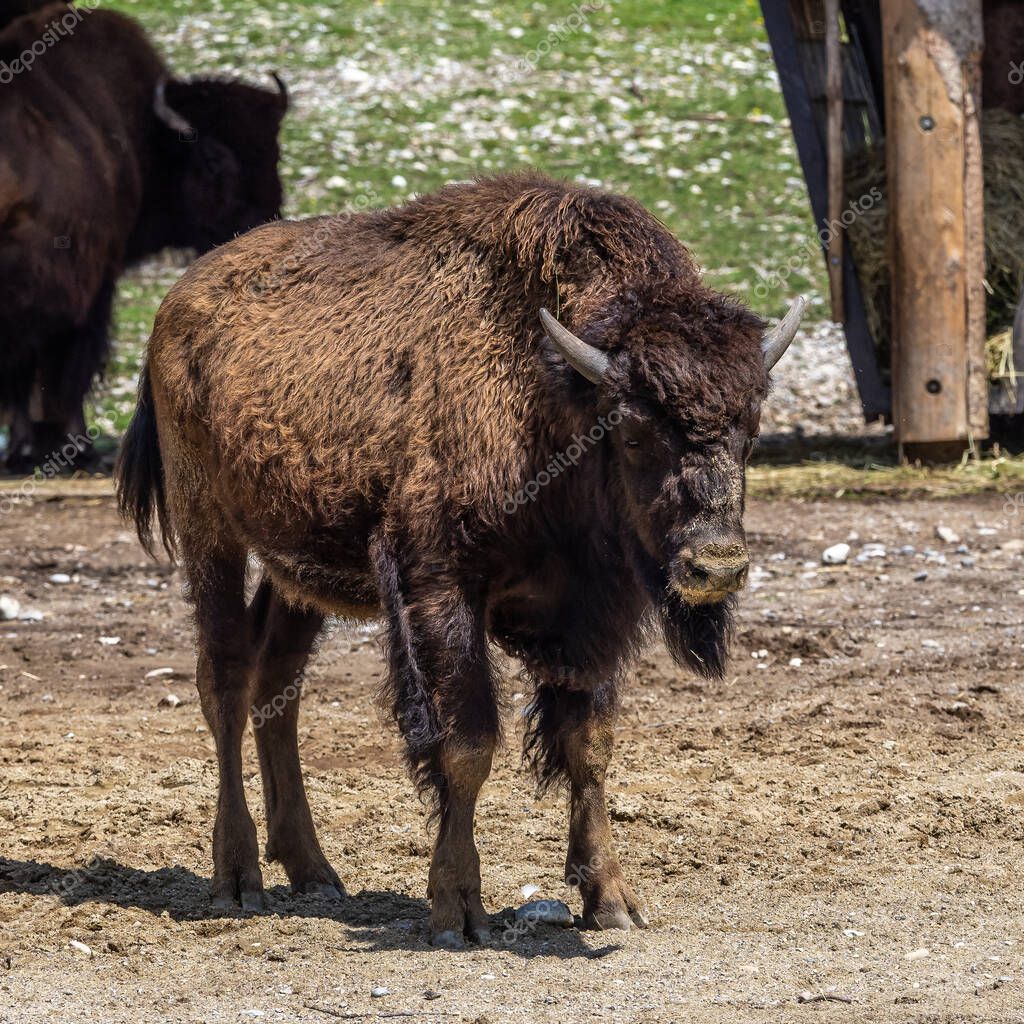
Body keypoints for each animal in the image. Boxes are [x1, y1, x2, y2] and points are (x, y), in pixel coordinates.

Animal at [0, 2, 287, 471]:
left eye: (275, 153)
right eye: (212, 159)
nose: (261, 229)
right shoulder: (90, 286)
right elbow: (67, 367)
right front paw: (68, 446)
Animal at [117, 173, 803, 947]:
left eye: (751, 428)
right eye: (630, 431)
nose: (715, 568)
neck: (551, 394)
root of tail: (175, 304)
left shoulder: (595, 614)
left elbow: (590, 744)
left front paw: (613, 902)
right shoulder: (441, 588)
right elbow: (467, 742)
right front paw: (458, 909)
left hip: (298, 571)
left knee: (277, 681)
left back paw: (313, 872)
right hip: (210, 533)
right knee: (226, 681)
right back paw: (237, 879)